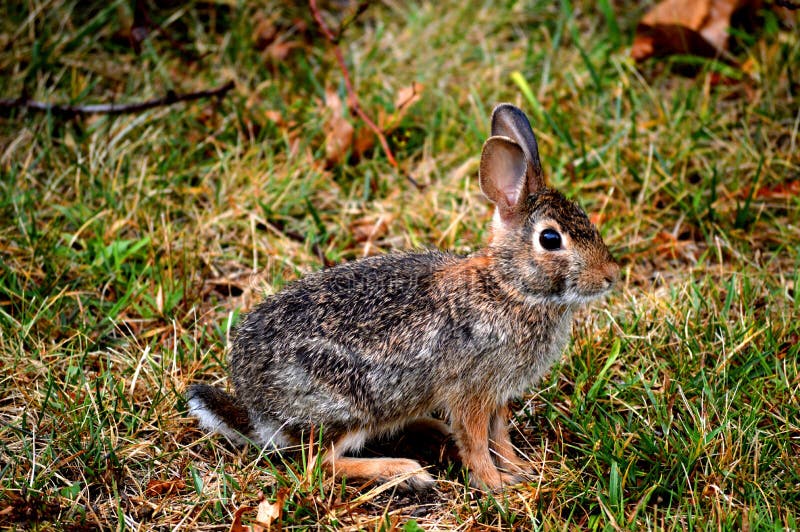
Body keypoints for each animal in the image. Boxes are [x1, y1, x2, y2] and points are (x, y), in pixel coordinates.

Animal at [187, 103, 619, 491]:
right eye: (550, 239)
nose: (611, 277)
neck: (509, 287)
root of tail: (257, 409)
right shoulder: (471, 391)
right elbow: (478, 442)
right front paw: (495, 486)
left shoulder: (496, 395)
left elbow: (500, 437)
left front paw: (519, 472)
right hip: (348, 406)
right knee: (319, 465)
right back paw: (405, 472)